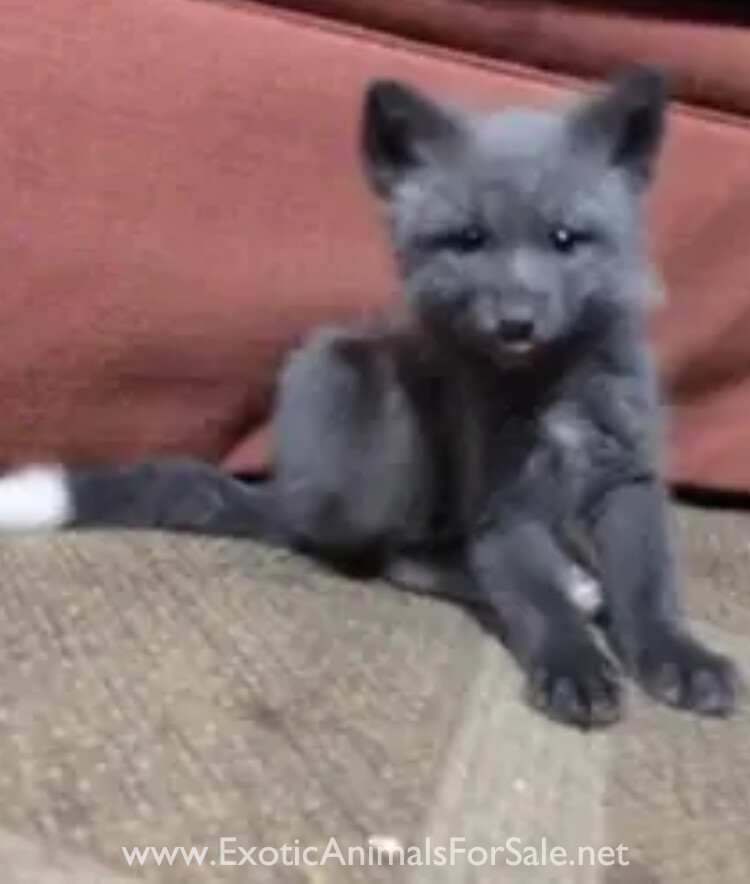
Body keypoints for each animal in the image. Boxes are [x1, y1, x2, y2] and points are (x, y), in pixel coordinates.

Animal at [0, 65, 737, 729]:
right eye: (470, 240)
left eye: (565, 238)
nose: (516, 324)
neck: (549, 390)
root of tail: (292, 491)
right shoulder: (498, 507)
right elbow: (535, 598)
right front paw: (573, 664)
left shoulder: (628, 478)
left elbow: (649, 588)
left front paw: (679, 656)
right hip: (364, 398)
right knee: (387, 555)